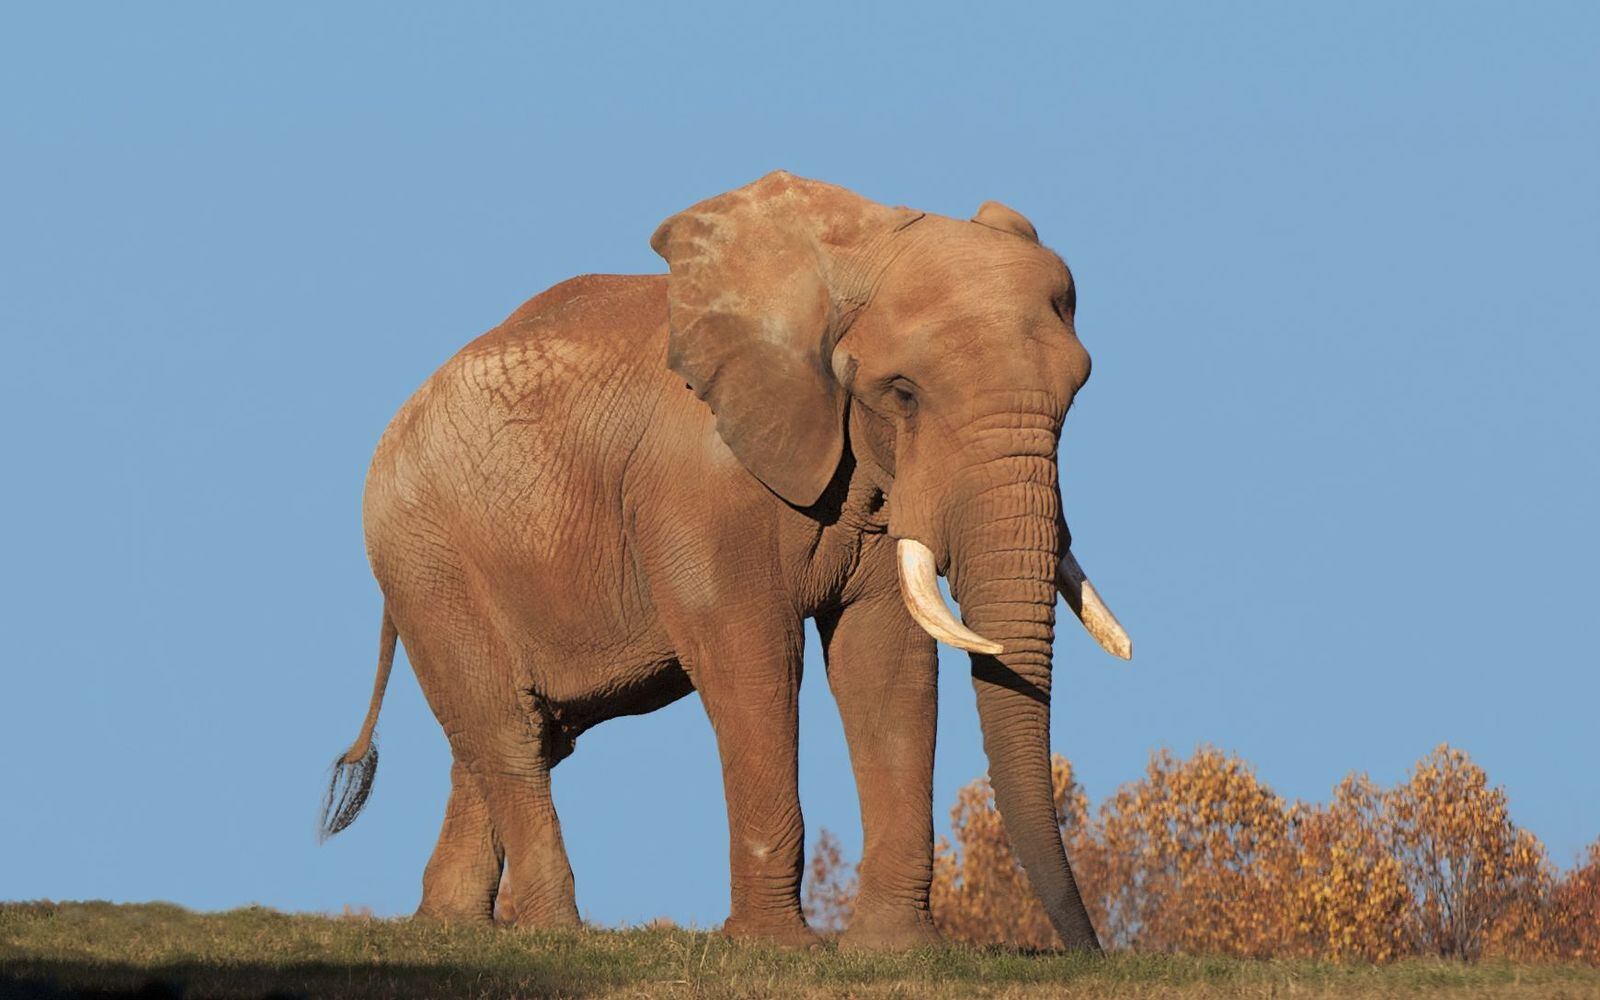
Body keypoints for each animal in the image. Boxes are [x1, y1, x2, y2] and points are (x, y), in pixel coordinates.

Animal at [321, 171, 1131, 952]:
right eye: (903, 393)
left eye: (1075, 393)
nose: (1088, 950)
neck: (844, 252)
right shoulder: (698, 485)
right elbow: (752, 658)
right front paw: (780, 948)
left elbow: (886, 659)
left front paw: (898, 953)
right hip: (424, 553)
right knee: (510, 733)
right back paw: (555, 935)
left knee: (514, 734)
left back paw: (451, 927)